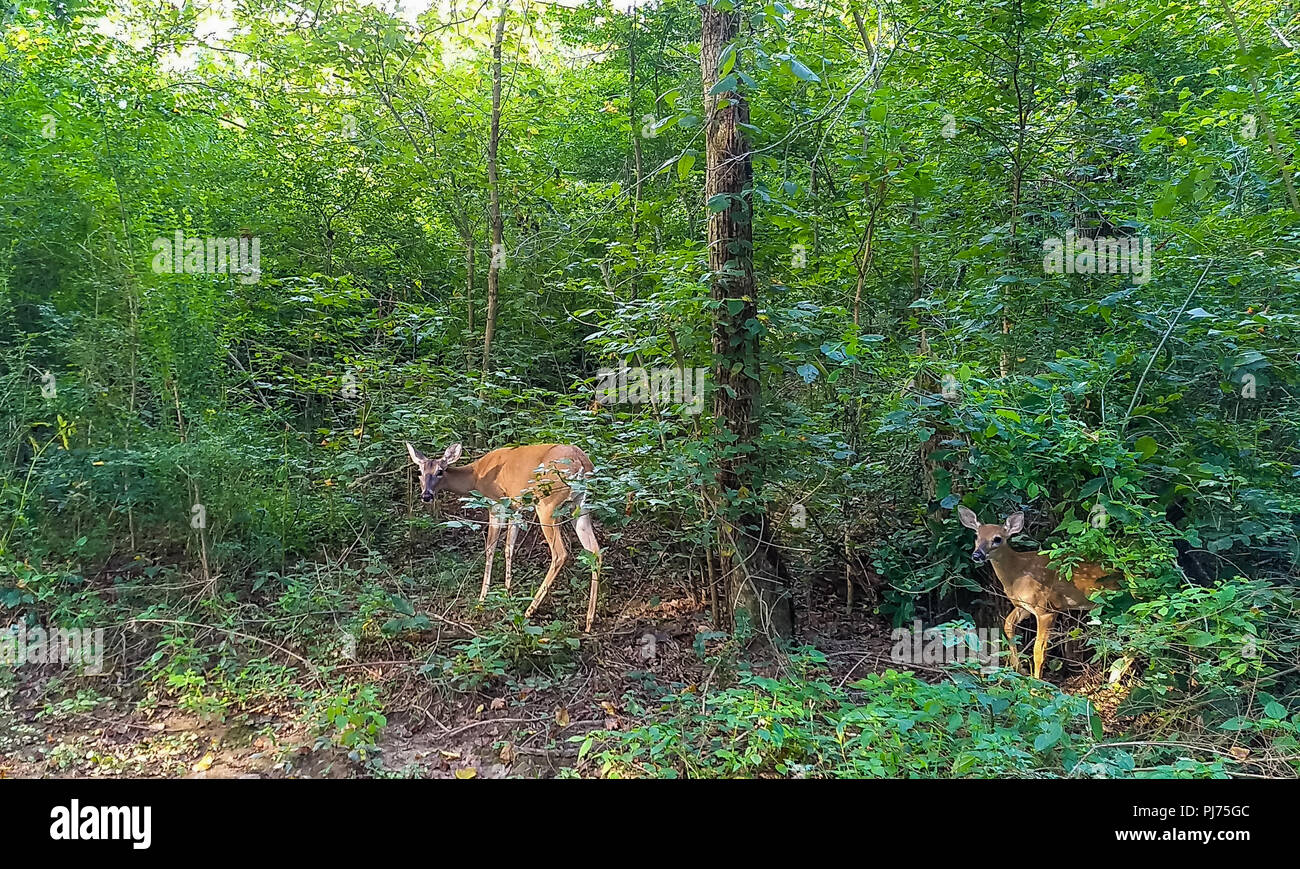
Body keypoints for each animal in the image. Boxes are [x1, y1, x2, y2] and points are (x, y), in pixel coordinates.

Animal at [406, 442, 602, 632]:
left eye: (440, 471)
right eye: (420, 472)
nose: (426, 495)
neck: (476, 476)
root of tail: (582, 462)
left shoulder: (496, 503)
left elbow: (490, 548)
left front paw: (482, 599)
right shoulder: (515, 507)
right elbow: (509, 547)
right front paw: (507, 591)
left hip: (547, 503)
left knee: (560, 553)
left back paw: (530, 609)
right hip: (580, 505)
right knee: (595, 551)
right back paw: (589, 620)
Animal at [957, 507, 1119, 680]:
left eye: (997, 539)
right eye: (976, 535)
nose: (977, 555)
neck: (1017, 575)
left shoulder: (1045, 608)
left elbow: (1038, 649)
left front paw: (1035, 681)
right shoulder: (1023, 606)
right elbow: (1008, 625)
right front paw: (1019, 669)